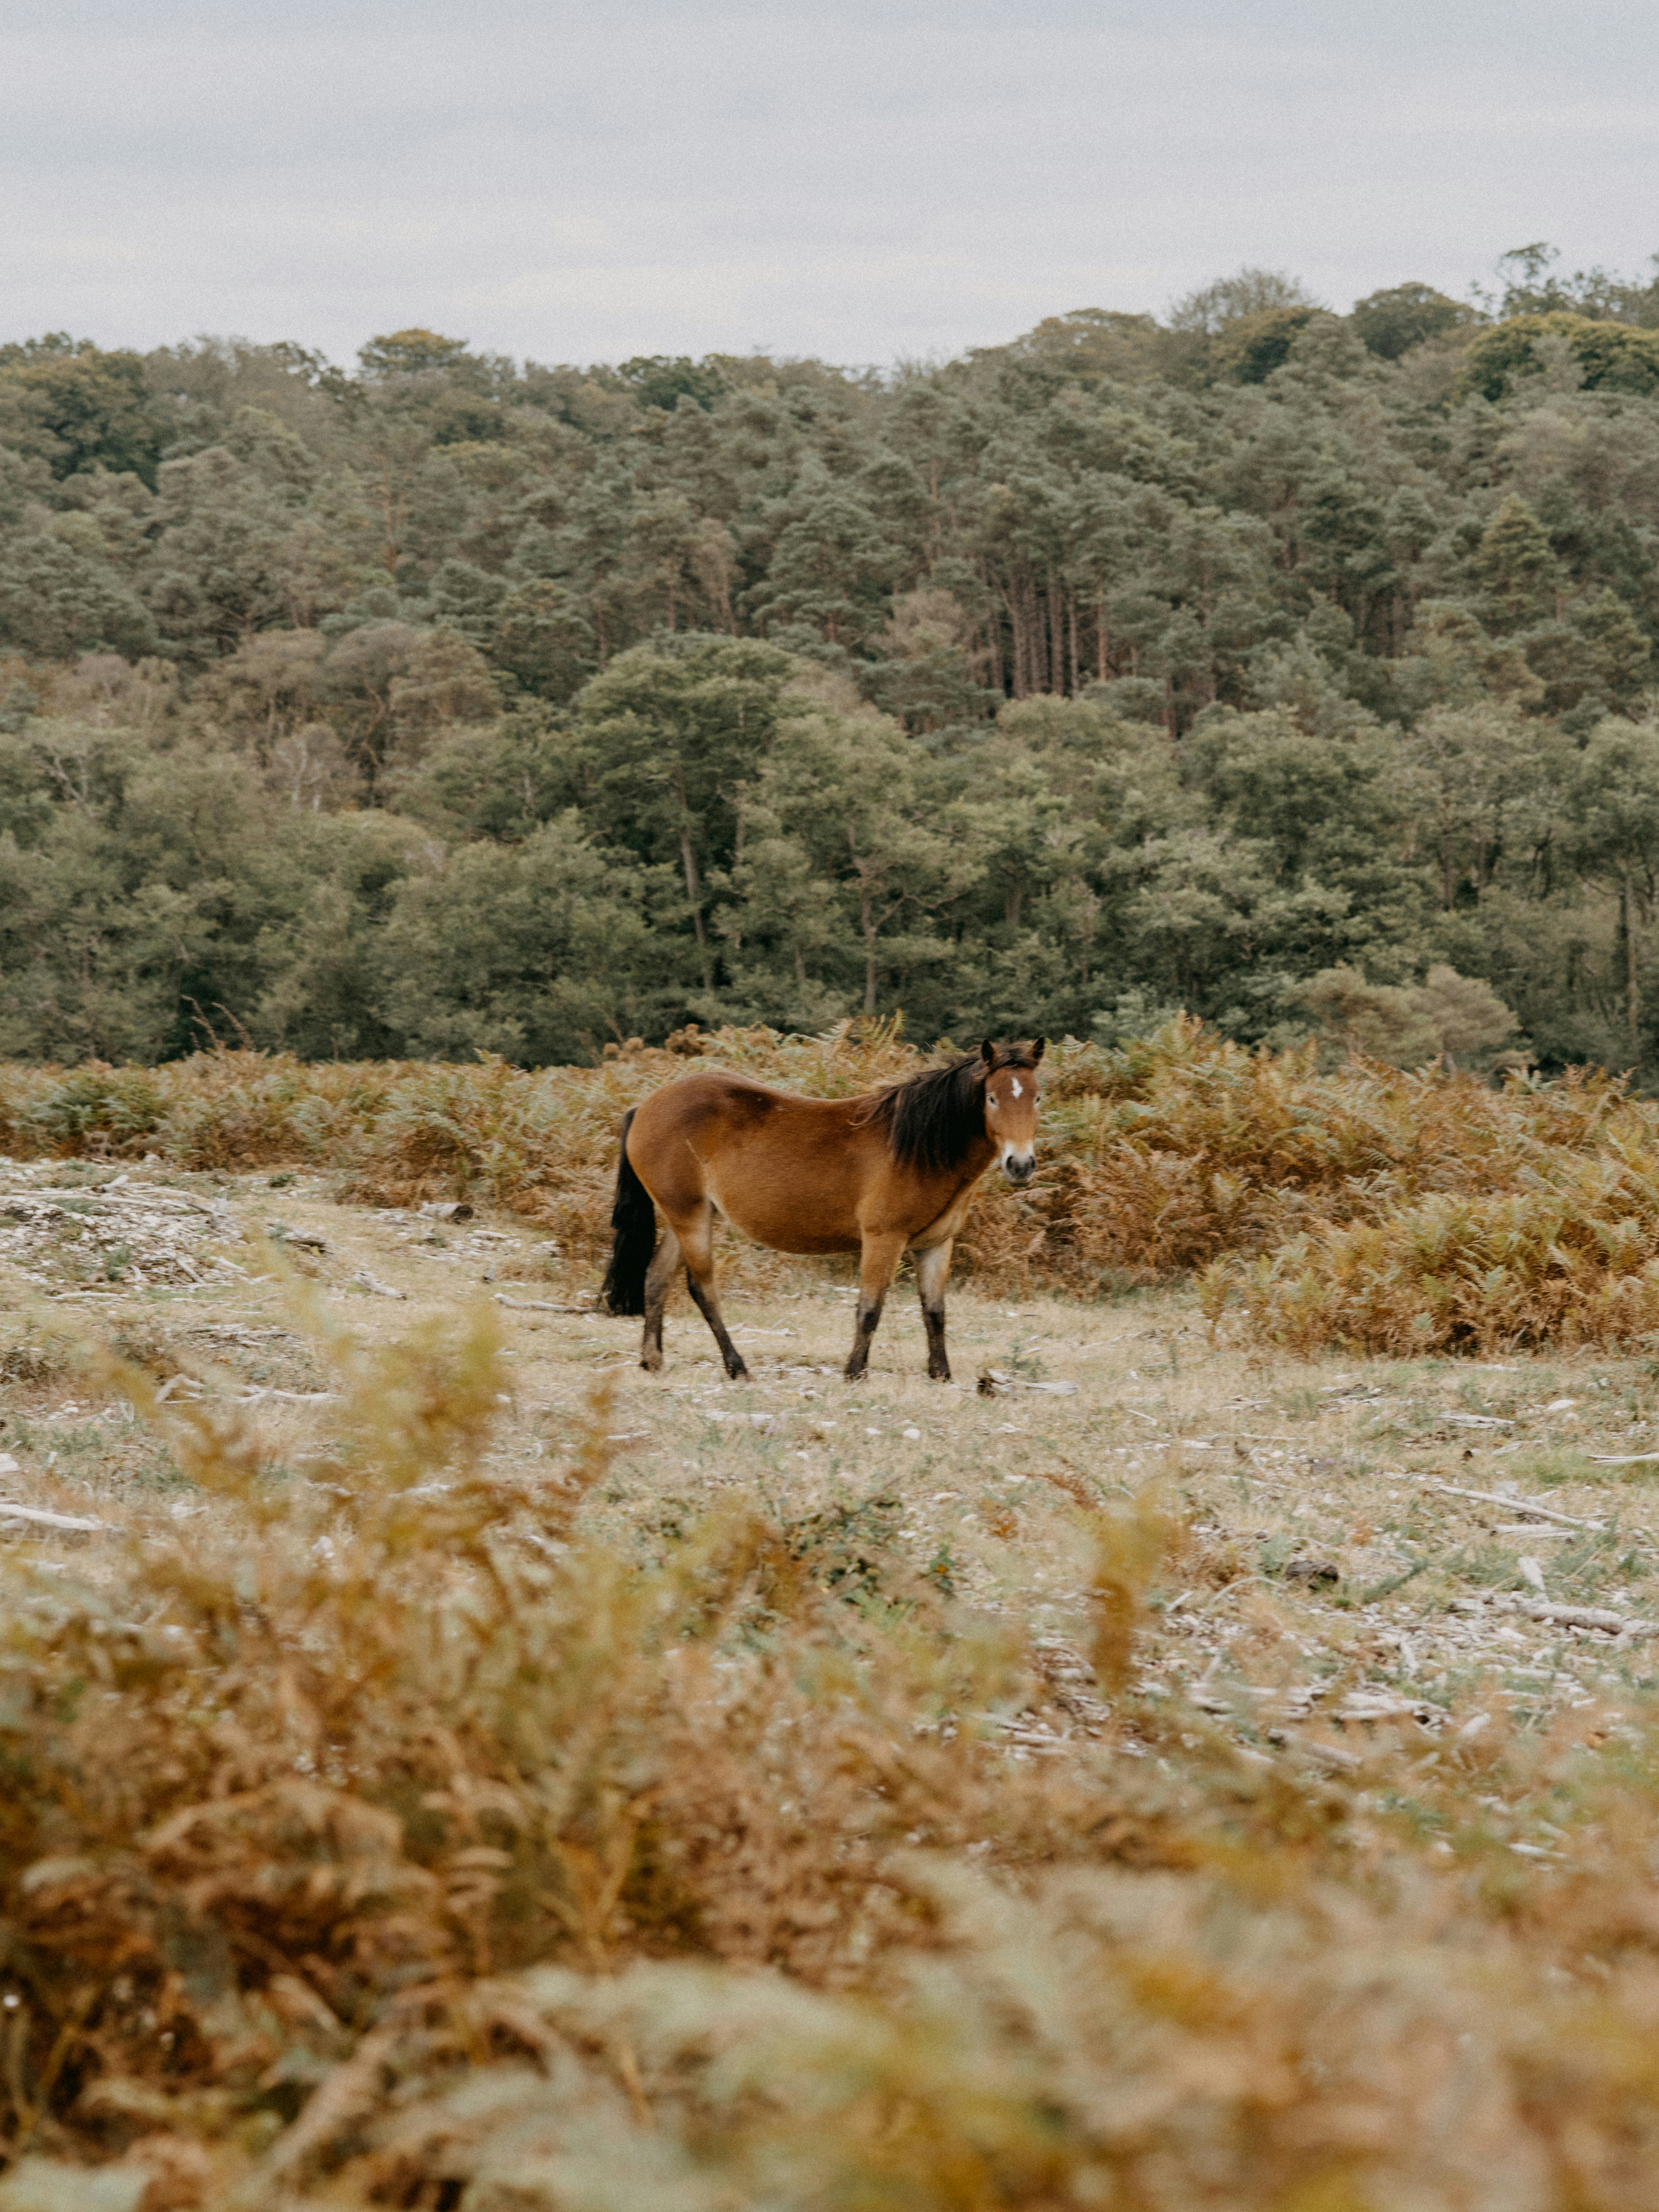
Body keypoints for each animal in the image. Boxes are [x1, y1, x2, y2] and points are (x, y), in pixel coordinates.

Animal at [599, 1037, 1045, 1383]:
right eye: (991, 1097)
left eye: (1037, 1096)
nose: (1020, 1165)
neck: (918, 1147)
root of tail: (645, 1106)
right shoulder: (882, 1239)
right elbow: (870, 1309)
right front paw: (854, 1372)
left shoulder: (935, 1244)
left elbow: (934, 1312)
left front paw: (941, 1374)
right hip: (689, 1217)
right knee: (702, 1288)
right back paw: (736, 1366)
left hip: (689, 1215)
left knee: (656, 1279)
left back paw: (652, 1360)